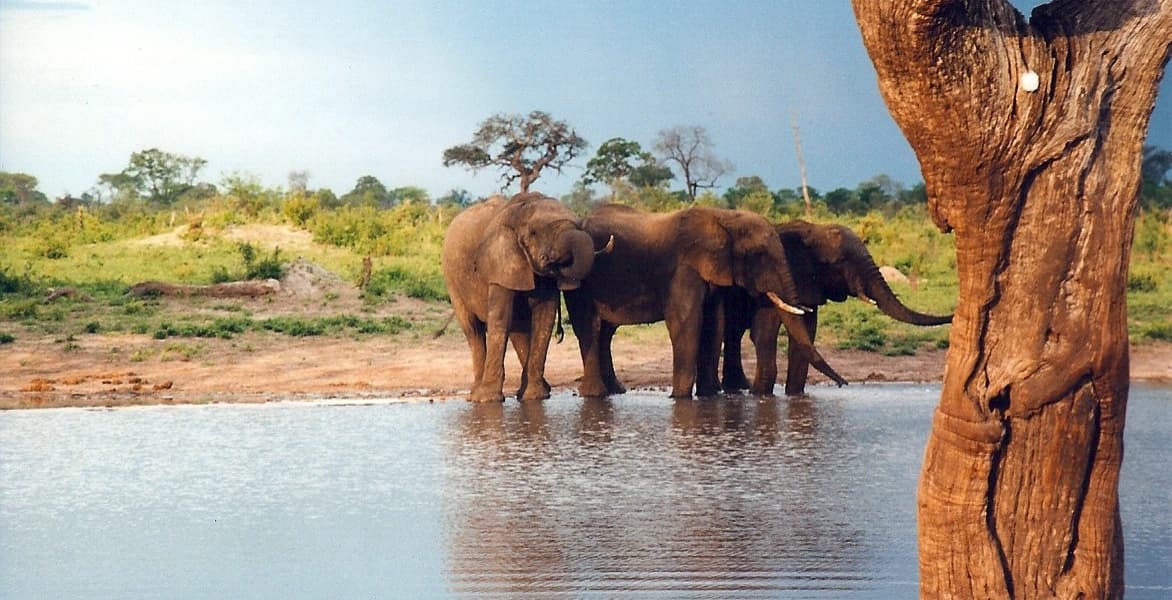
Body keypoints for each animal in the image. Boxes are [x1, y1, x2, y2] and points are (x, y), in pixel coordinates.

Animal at [441, 192, 610, 402]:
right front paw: (489, 400)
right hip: (452, 280)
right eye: (534, 233)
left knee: (517, 327)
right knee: (473, 331)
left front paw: (535, 397)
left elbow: (544, 317)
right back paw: (476, 395)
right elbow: (500, 319)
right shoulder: (499, 264)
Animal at [564, 204, 846, 399]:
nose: (844, 384)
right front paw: (679, 398)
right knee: (590, 328)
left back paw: (614, 392)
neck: (724, 217)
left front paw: (708, 396)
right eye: (759, 255)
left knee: (605, 333)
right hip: (579, 281)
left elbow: (715, 323)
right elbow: (686, 323)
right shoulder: (685, 268)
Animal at [721, 219, 953, 396]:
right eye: (841, 261)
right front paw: (761, 396)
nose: (844, 384)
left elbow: (805, 335)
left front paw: (795, 396)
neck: (814, 230)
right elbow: (766, 332)